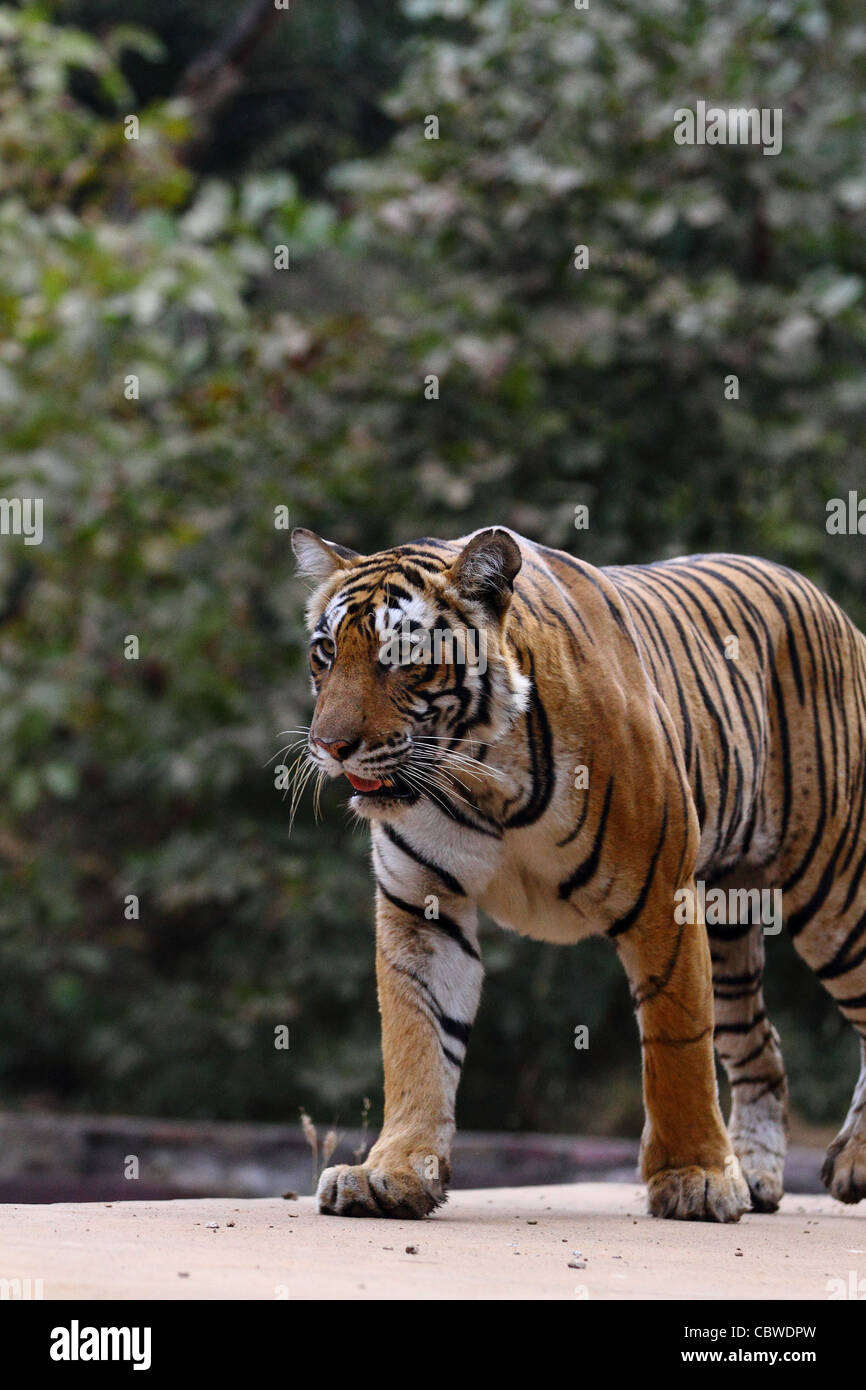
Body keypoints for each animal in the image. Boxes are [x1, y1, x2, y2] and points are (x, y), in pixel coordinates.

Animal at [292, 524, 866, 1222]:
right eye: (325, 651)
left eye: (399, 655)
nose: (329, 746)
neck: (484, 774)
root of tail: (829, 603)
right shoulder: (421, 906)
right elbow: (416, 1039)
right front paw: (391, 1173)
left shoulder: (662, 898)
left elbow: (677, 1044)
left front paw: (696, 1177)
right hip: (732, 919)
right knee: (762, 1048)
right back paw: (757, 1176)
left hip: (832, 888)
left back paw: (852, 1163)